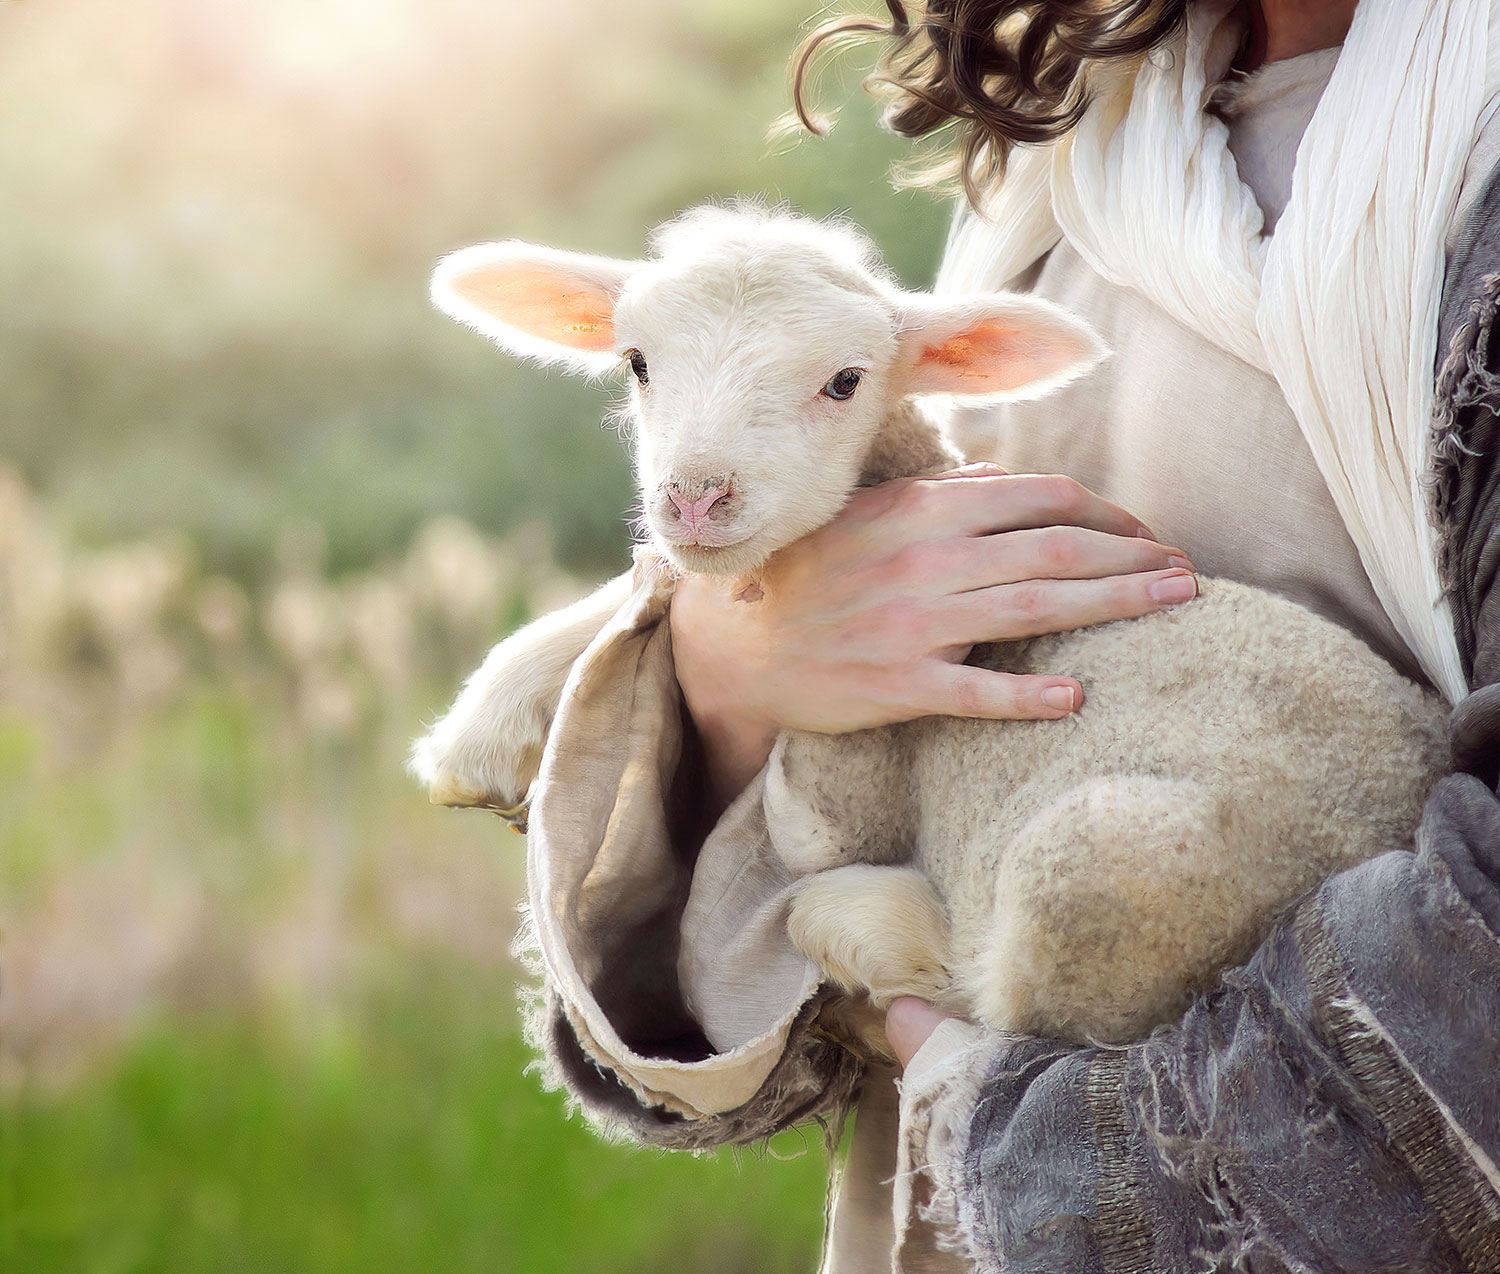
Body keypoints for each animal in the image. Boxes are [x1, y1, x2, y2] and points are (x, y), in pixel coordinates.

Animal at [412, 204, 1449, 1044]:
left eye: (845, 382)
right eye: (636, 363)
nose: (697, 498)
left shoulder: (845, 782)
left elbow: (802, 801)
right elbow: (654, 586)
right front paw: (485, 726)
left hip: (1116, 869)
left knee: (1015, 1007)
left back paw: (860, 922)